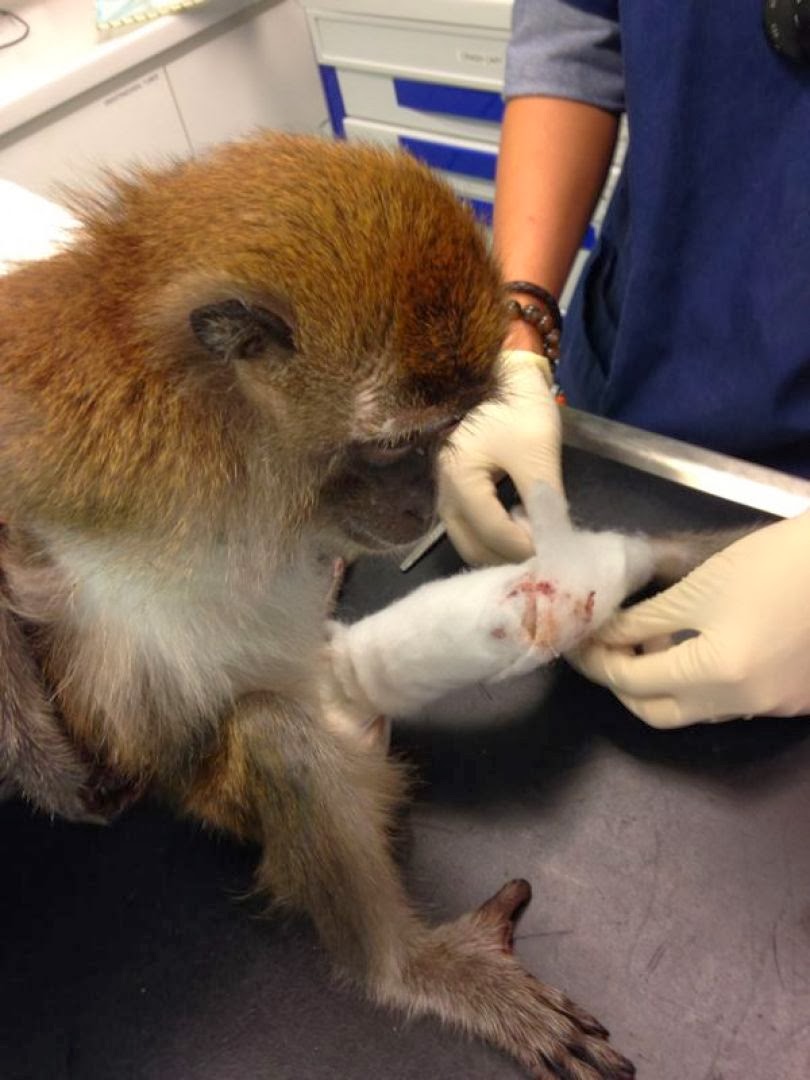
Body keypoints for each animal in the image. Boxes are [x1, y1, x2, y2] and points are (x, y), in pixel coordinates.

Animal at [0, 132, 693, 1078]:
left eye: (449, 434)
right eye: (397, 444)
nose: (426, 499)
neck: (230, 444)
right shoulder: (83, 429)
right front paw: (38, 756)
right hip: (214, 794)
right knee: (279, 738)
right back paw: (410, 966)